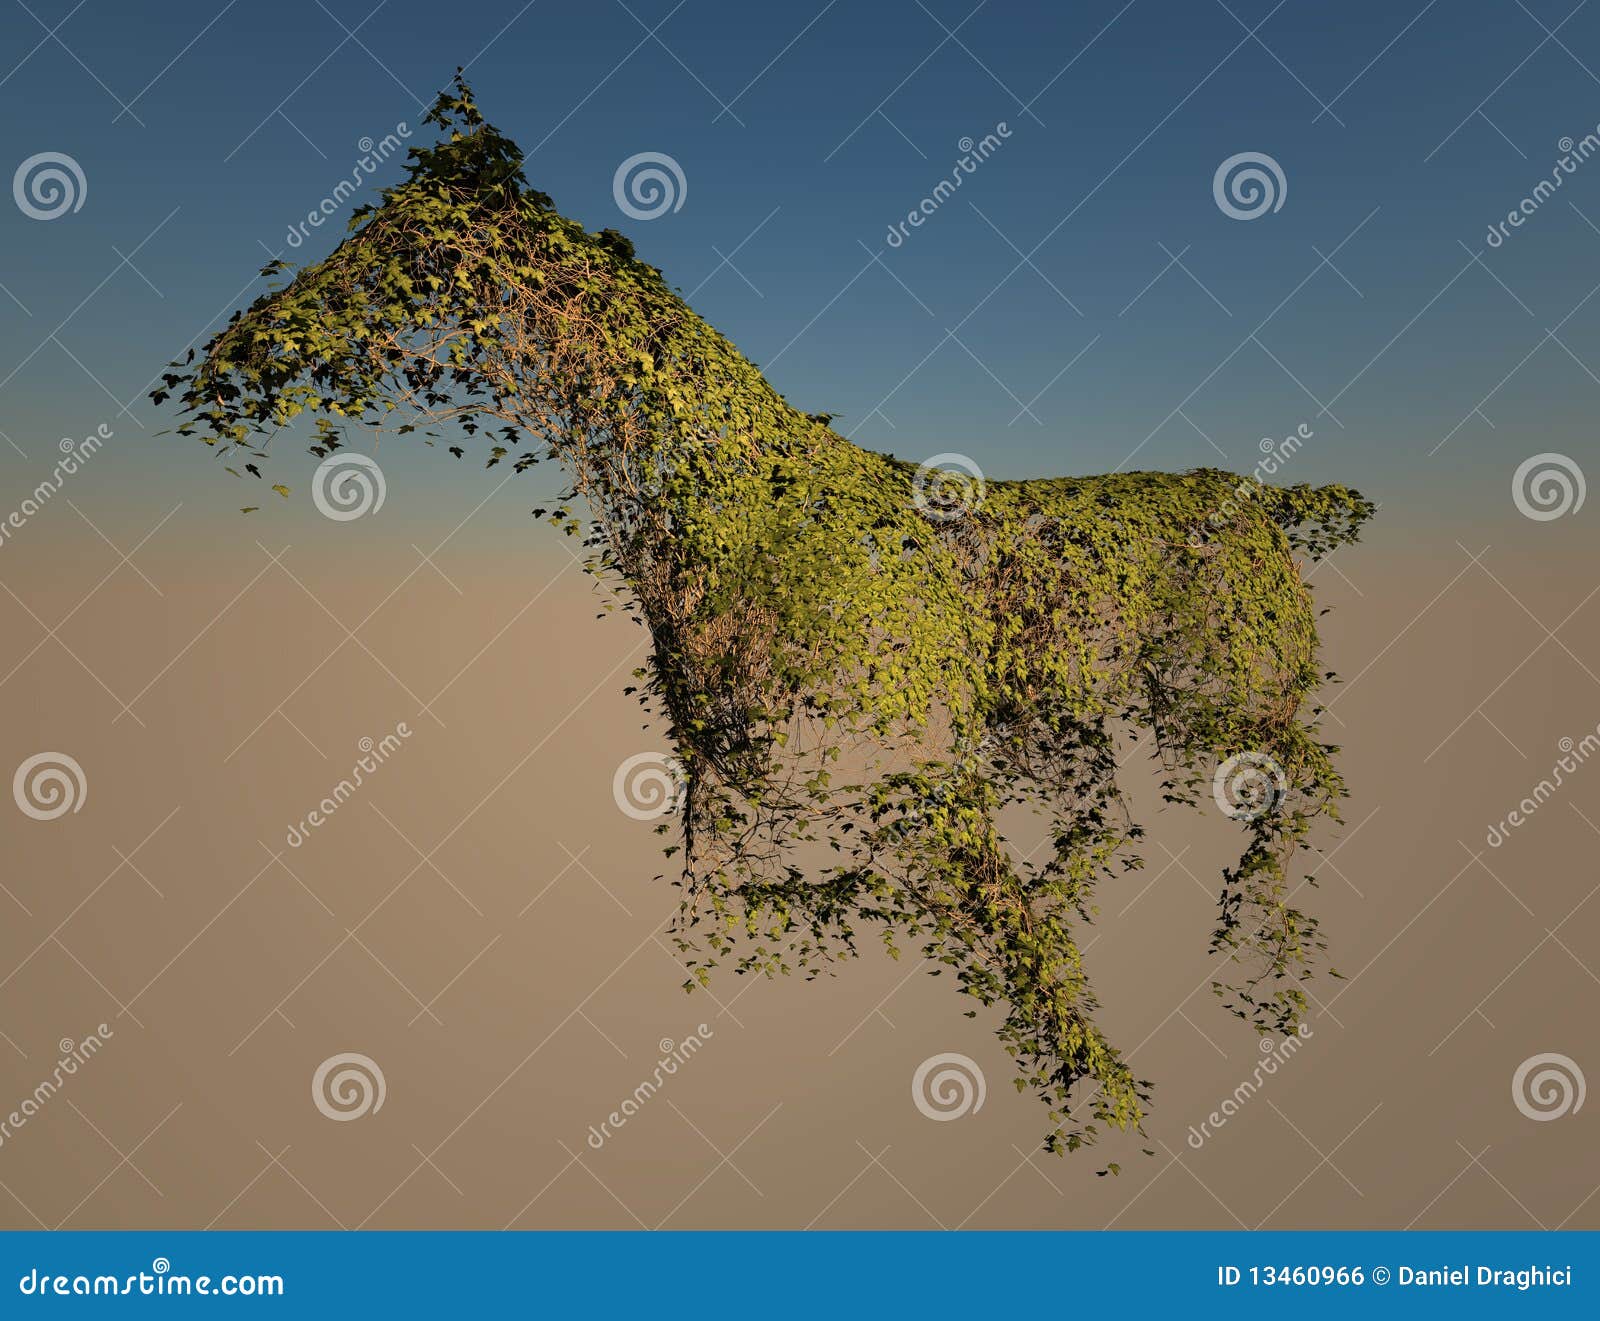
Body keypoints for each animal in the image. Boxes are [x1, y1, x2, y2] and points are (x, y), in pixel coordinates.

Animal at [158, 79, 1373, 1153]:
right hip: (1062, 725)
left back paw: (1259, 958)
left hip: (1208, 707)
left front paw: (1100, 1088)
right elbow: (751, 918)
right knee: (1117, 823)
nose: (224, 358)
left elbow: (1010, 968)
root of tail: (1268, 499)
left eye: (404, 247)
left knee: (1301, 778)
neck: (740, 517)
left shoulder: (929, 787)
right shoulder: (739, 801)